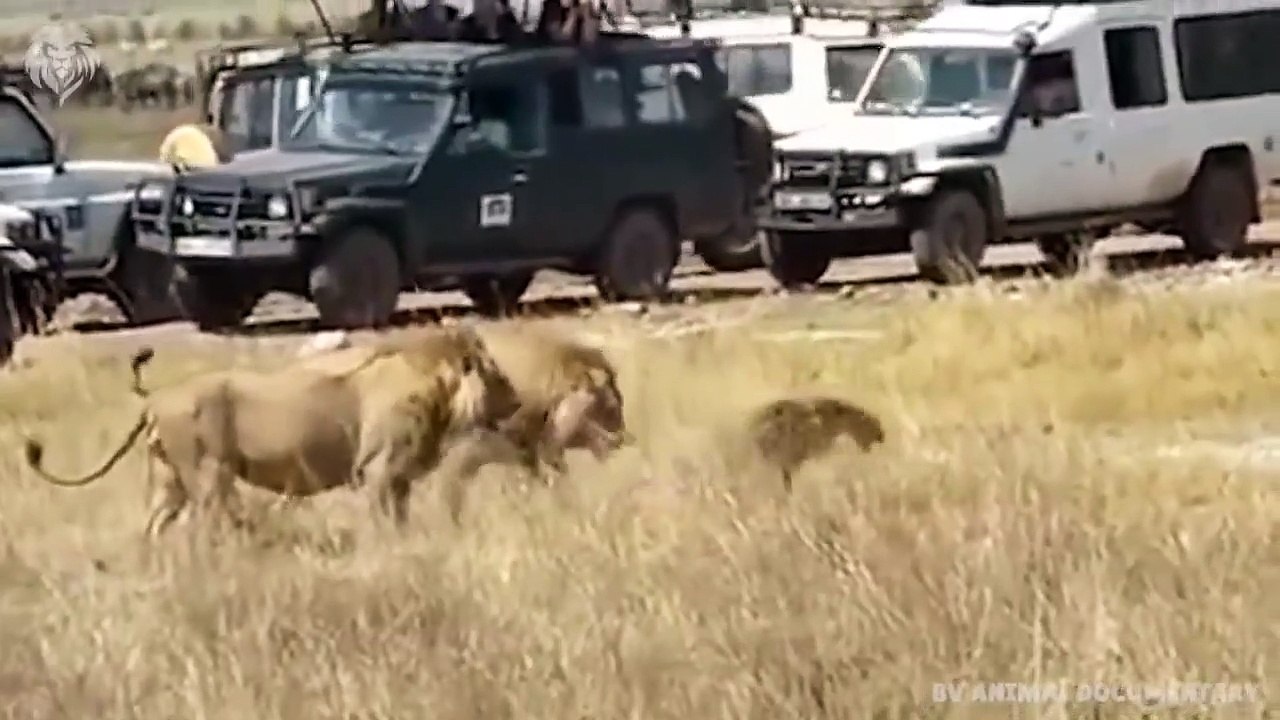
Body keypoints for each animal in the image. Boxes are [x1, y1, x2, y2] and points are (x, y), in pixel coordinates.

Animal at [24, 327, 519, 536]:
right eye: (496, 373)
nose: (516, 400)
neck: (438, 385)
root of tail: (155, 400)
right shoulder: (378, 472)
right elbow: (386, 523)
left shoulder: (397, 480)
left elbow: (402, 518)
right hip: (209, 476)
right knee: (198, 528)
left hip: (169, 480)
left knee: (155, 527)